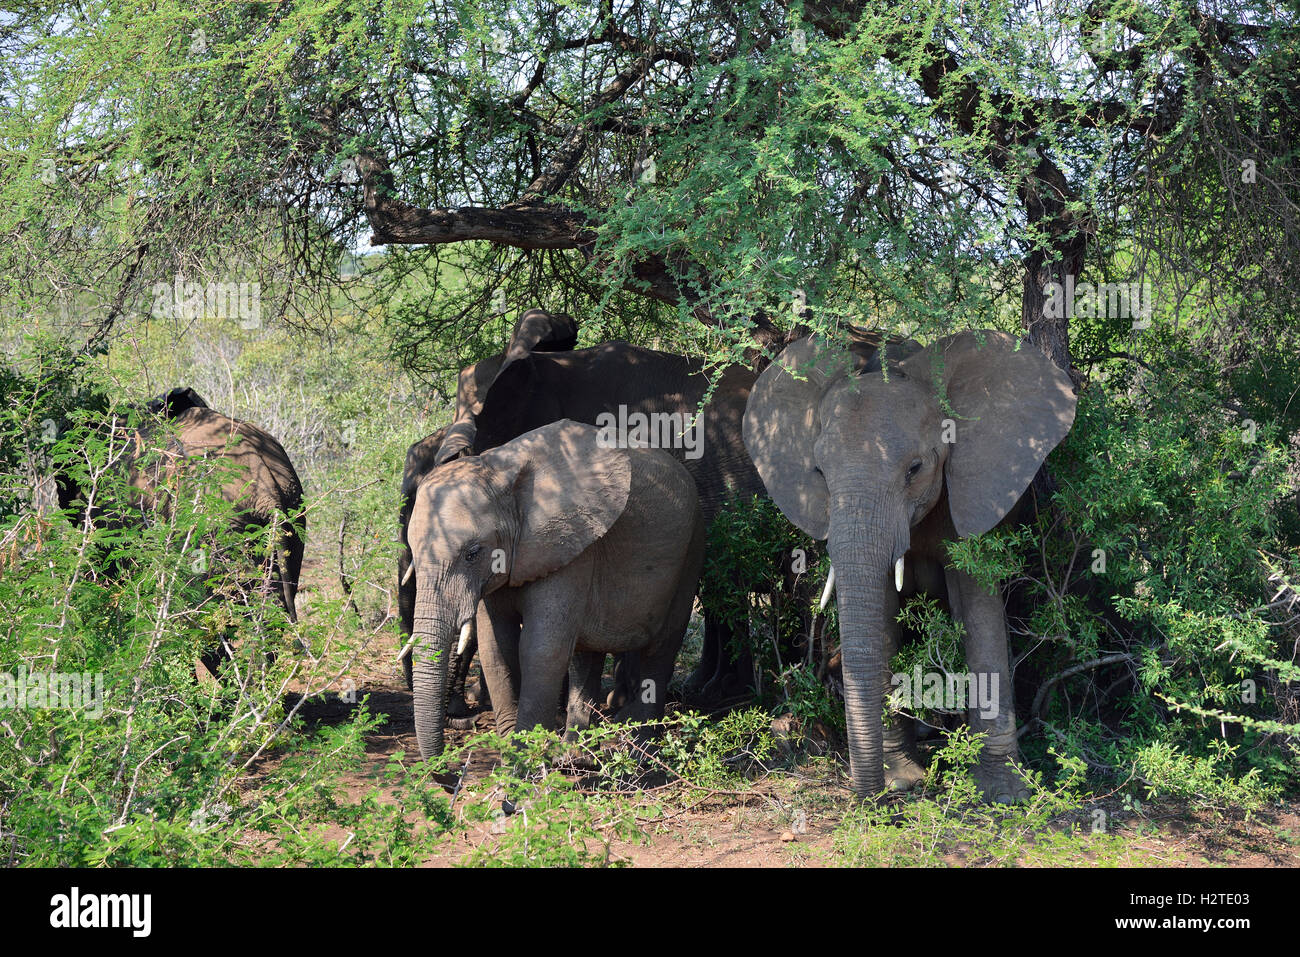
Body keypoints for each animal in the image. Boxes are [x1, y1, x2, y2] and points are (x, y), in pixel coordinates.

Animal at [406, 420, 706, 758]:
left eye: (472, 553)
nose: (444, 764)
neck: (500, 472)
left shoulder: (570, 544)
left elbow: (541, 650)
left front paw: (521, 761)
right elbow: (497, 646)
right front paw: (514, 750)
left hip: (692, 548)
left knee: (661, 649)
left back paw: (640, 751)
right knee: (585, 653)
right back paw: (577, 753)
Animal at [743, 330, 1076, 802]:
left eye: (915, 468)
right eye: (819, 472)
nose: (871, 801)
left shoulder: (975, 491)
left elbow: (980, 608)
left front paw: (1003, 792)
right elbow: (882, 615)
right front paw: (900, 779)